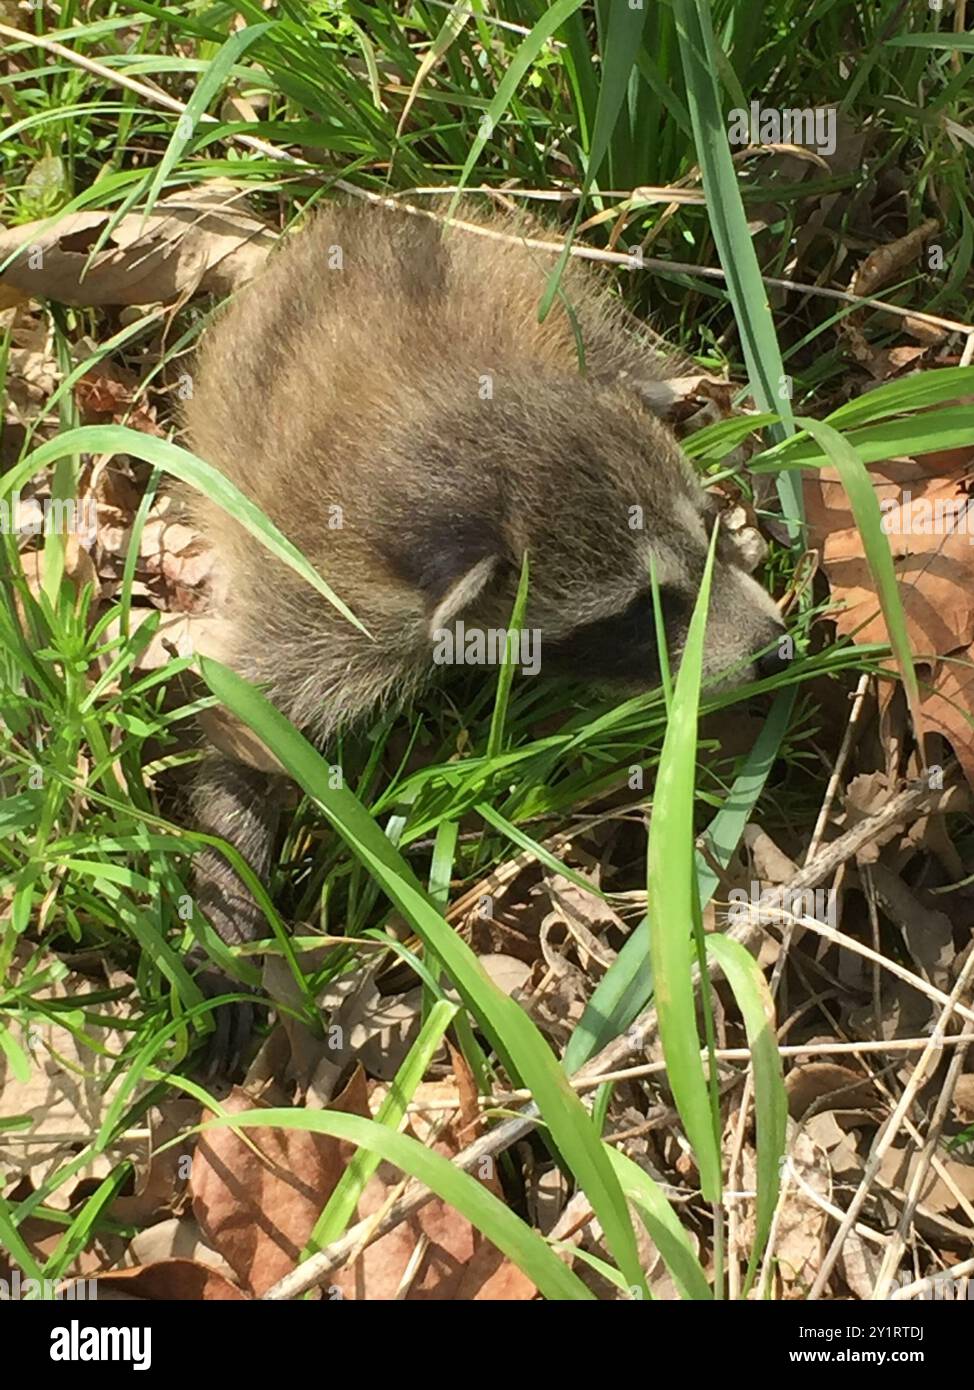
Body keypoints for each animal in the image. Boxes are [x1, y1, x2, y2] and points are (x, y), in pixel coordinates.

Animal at [179, 202, 786, 1069]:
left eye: (706, 536)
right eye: (640, 611)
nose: (776, 643)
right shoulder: (308, 595)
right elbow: (249, 731)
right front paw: (226, 905)